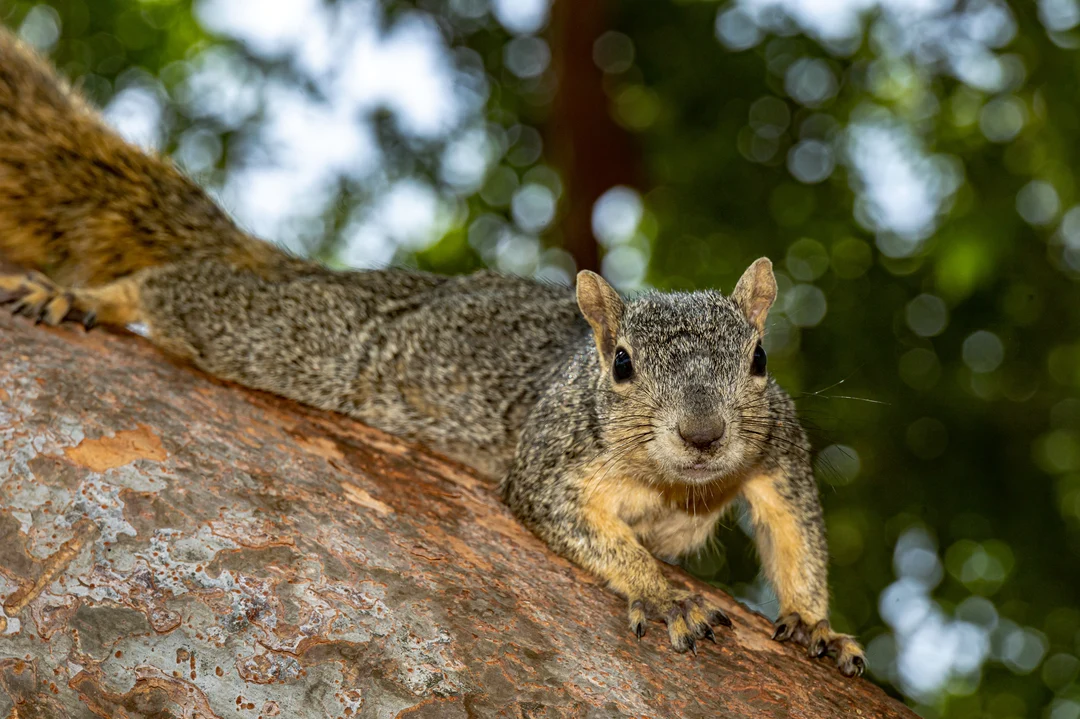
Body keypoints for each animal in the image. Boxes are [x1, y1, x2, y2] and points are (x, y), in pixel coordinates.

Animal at [0, 29, 864, 676]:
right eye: (620, 364)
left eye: (759, 358)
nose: (704, 434)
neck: (677, 486)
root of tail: (324, 277)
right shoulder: (550, 457)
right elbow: (579, 524)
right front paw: (663, 591)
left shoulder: (778, 444)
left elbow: (796, 529)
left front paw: (816, 623)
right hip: (290, 337)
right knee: (176, 290)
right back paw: (91, 297)